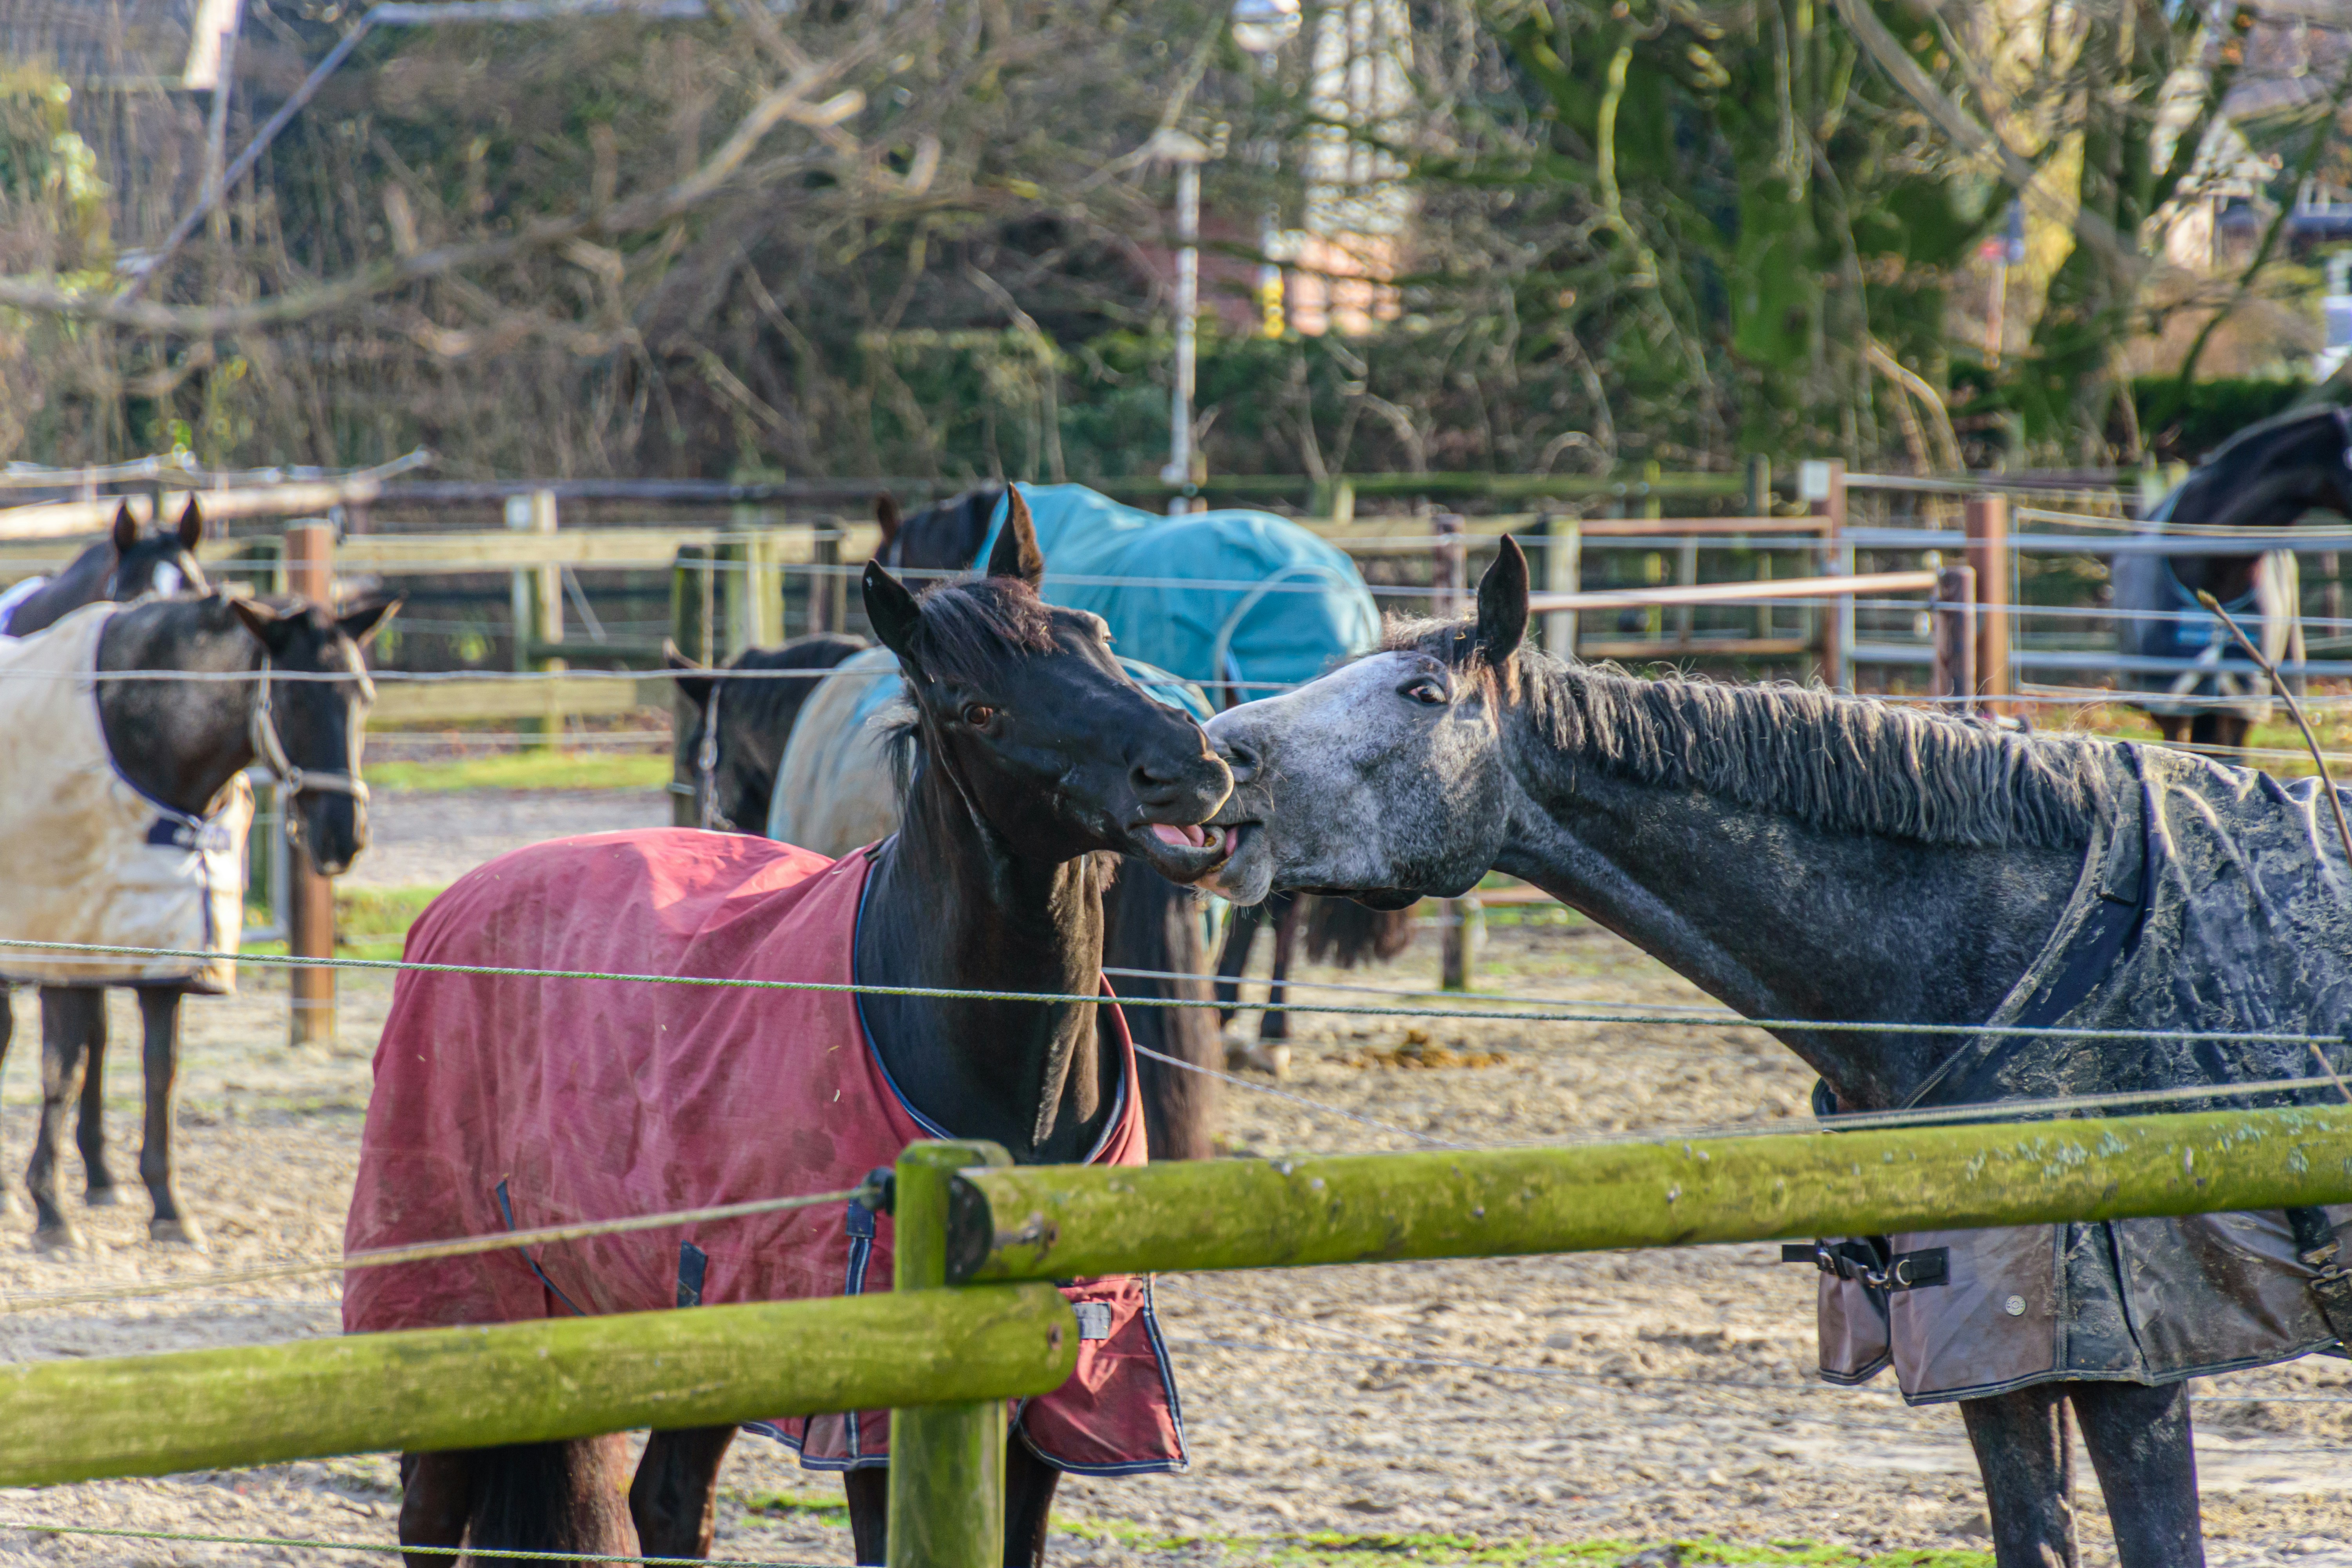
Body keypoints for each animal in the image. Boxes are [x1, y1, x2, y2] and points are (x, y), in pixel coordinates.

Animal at [0, 590, 395, 1251]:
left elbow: (161, 1071)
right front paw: (50, 1209)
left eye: (363, 695)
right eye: (292, 697)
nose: (345, 837)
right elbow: (62, 1072)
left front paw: (167, 1208)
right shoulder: (62, 948)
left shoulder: (160, 958)